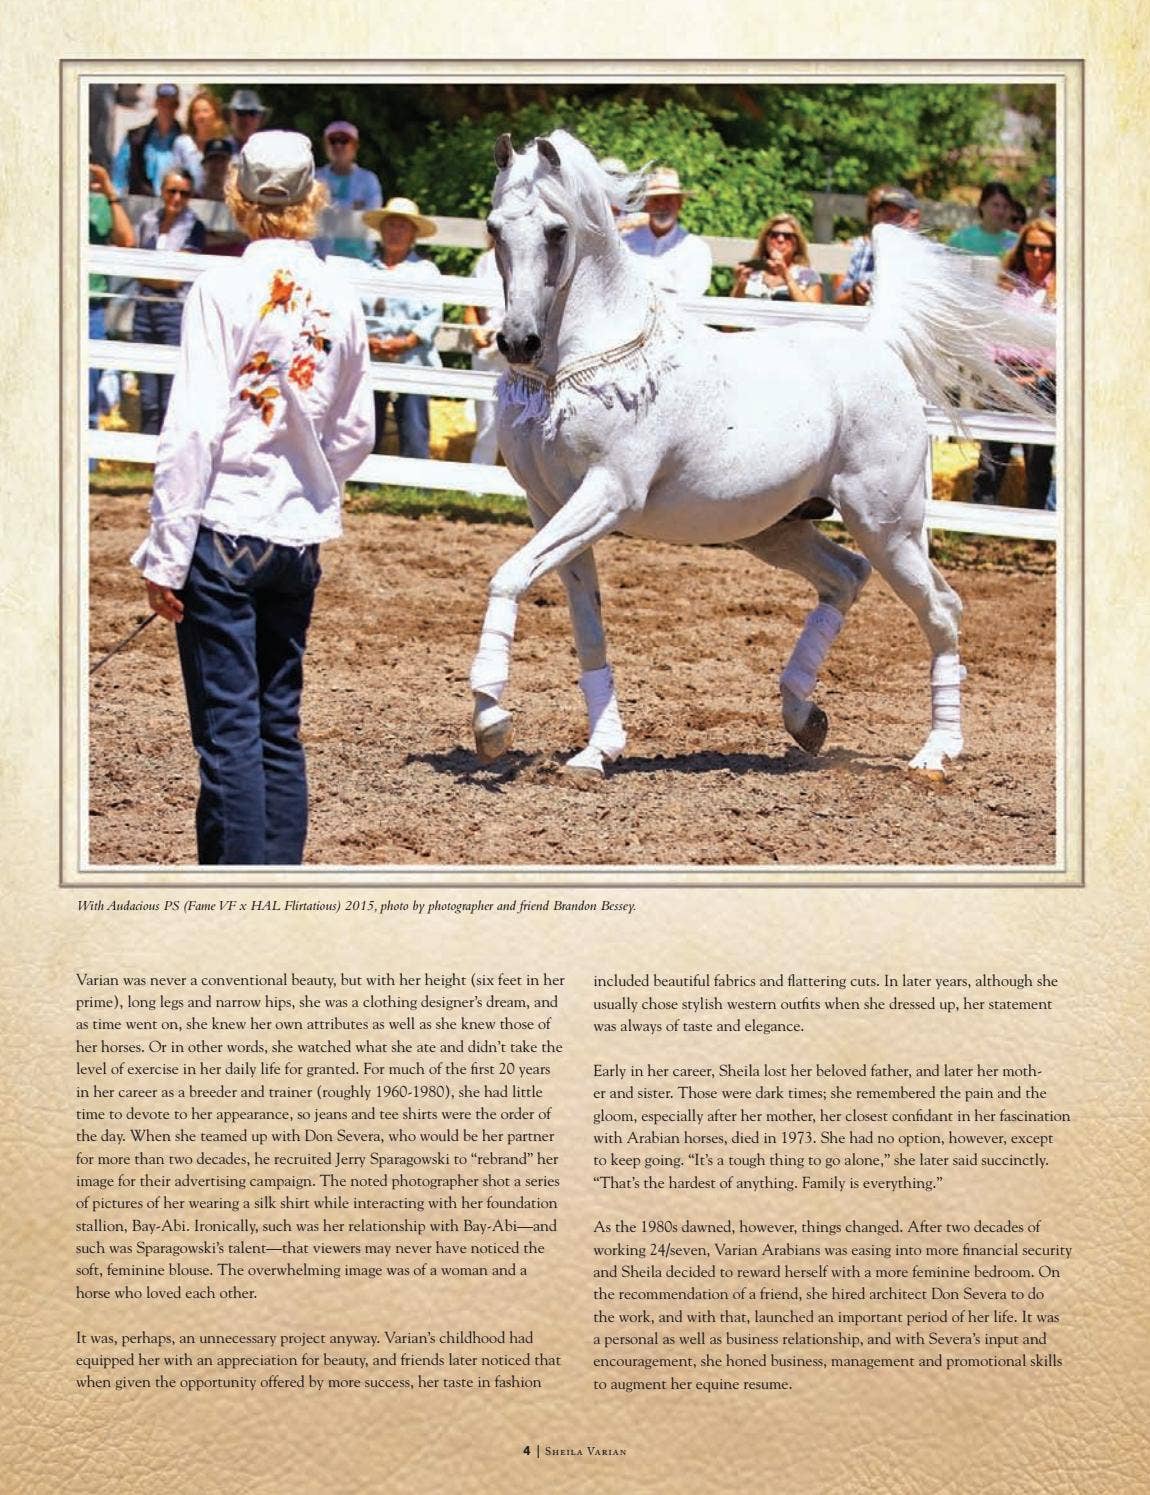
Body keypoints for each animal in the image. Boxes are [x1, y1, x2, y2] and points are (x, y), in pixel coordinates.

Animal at [468, 130, 1055, 778]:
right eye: (493, 228)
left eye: (556, 231)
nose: (517, 341)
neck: (577, 366)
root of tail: (878, 347)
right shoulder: (549, 507)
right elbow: (585, 626)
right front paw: (597, 750)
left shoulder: (607, 496)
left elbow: (507, 578)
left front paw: (491, 721)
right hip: (776, 528)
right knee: (846, 578)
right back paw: (805, 718)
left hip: (887, 526)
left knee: (941, 610)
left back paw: (935, 751)